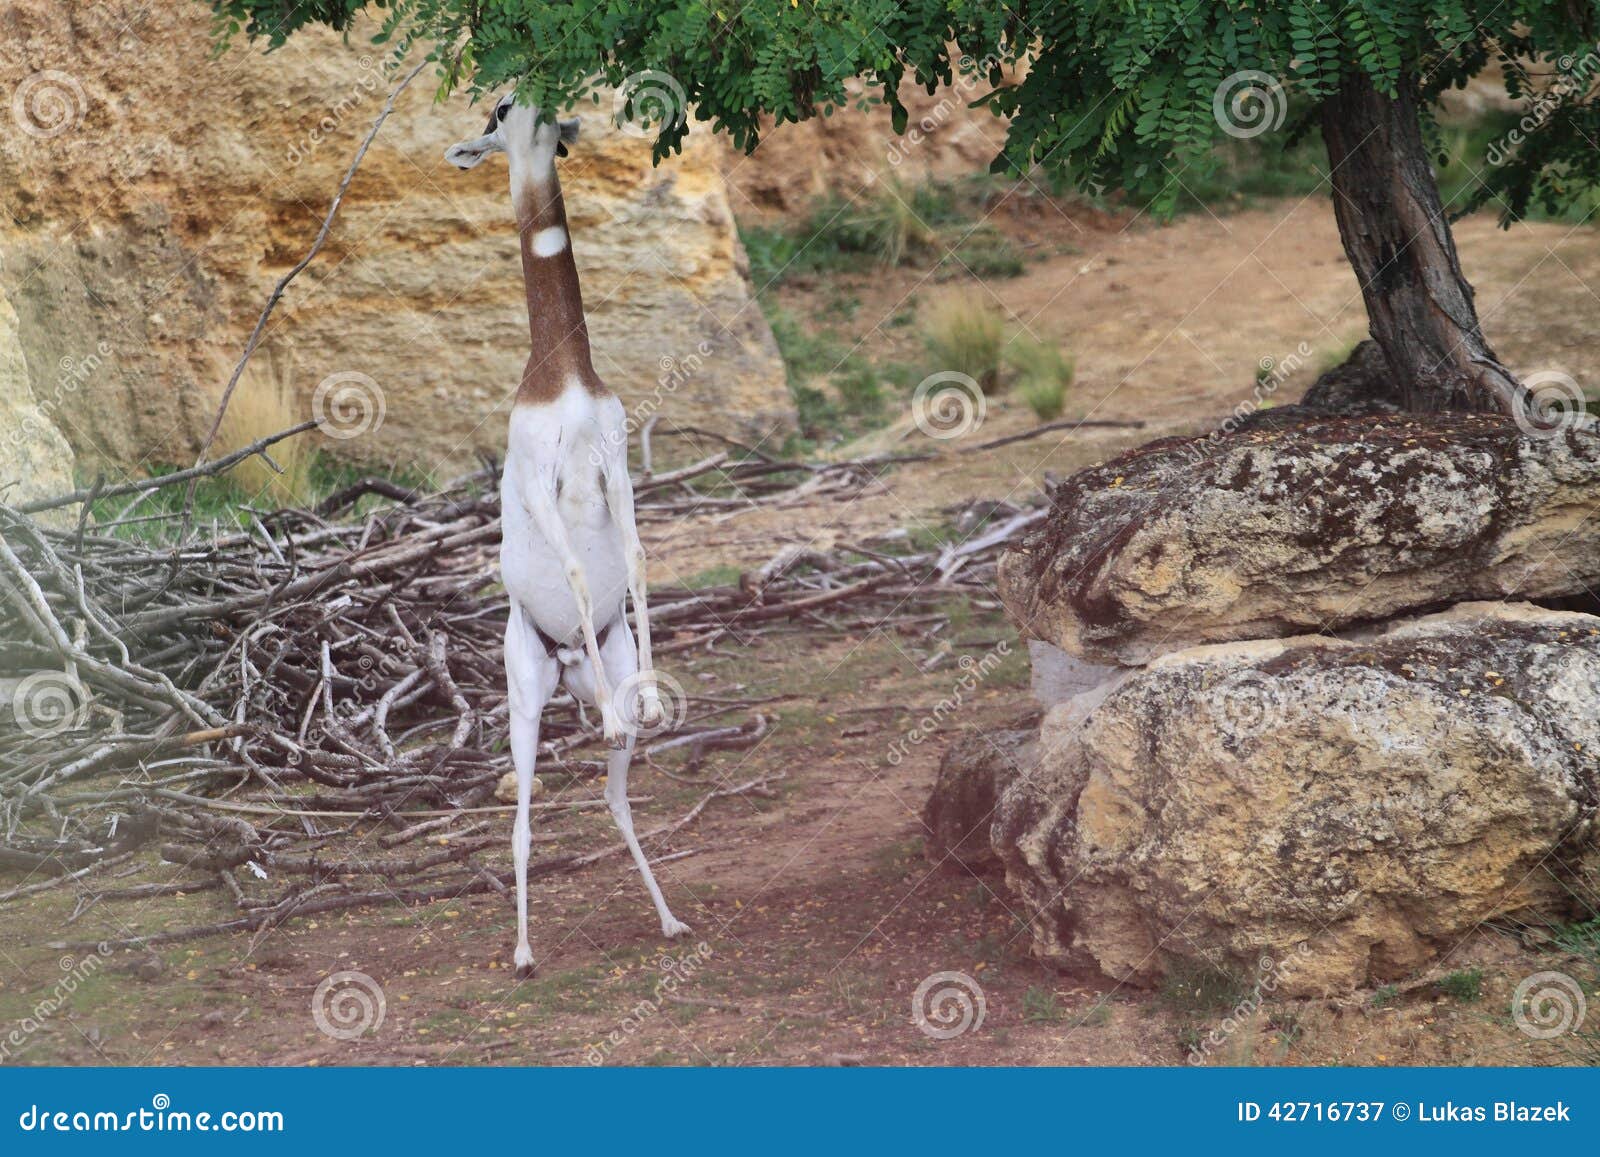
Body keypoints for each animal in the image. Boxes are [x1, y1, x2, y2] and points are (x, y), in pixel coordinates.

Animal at [446, 93, 690, 978]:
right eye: (499, 110)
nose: (531, 100)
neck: (562, 377)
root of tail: (569, 670)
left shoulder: (616, 469)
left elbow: (642, 560)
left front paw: (651, 698)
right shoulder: (543, 483)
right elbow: (586, 576)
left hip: (596, 678)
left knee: (616, 800)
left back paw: (669, 917)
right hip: (524, 701)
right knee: (520, 823)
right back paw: (522, 953)